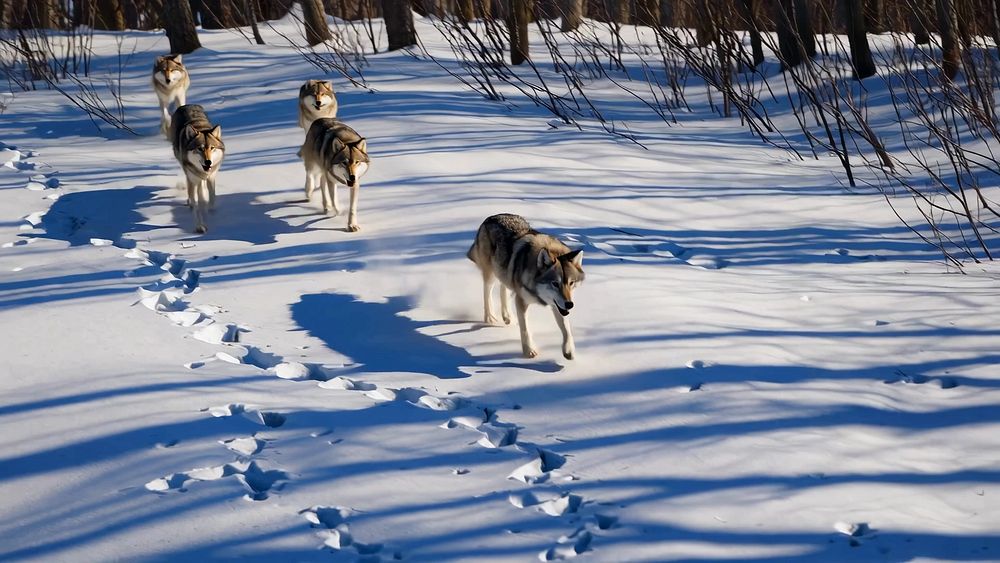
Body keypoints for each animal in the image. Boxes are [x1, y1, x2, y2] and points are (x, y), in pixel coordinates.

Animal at [170, 104, 224, 234]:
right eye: (200, 148)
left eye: (212, 148)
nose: (208, 162)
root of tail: (185, 105)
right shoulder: (192, 179)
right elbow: (195, 205)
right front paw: (200, 226)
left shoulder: (211, 177)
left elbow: (211, 198)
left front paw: (208, 215)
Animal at [467, 214, 585, 360]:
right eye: (555, 283)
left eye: (571, 283)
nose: (570, 304)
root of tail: (490, 217)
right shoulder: (521, 301)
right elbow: (525, 329)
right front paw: (529, 351)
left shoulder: (557, 304)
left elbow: (567, 329)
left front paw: (569, 351)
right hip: (491, 275)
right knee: (487, 292)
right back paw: (490, 318)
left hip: (505, 273)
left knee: (503, 289)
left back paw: (507, 317)